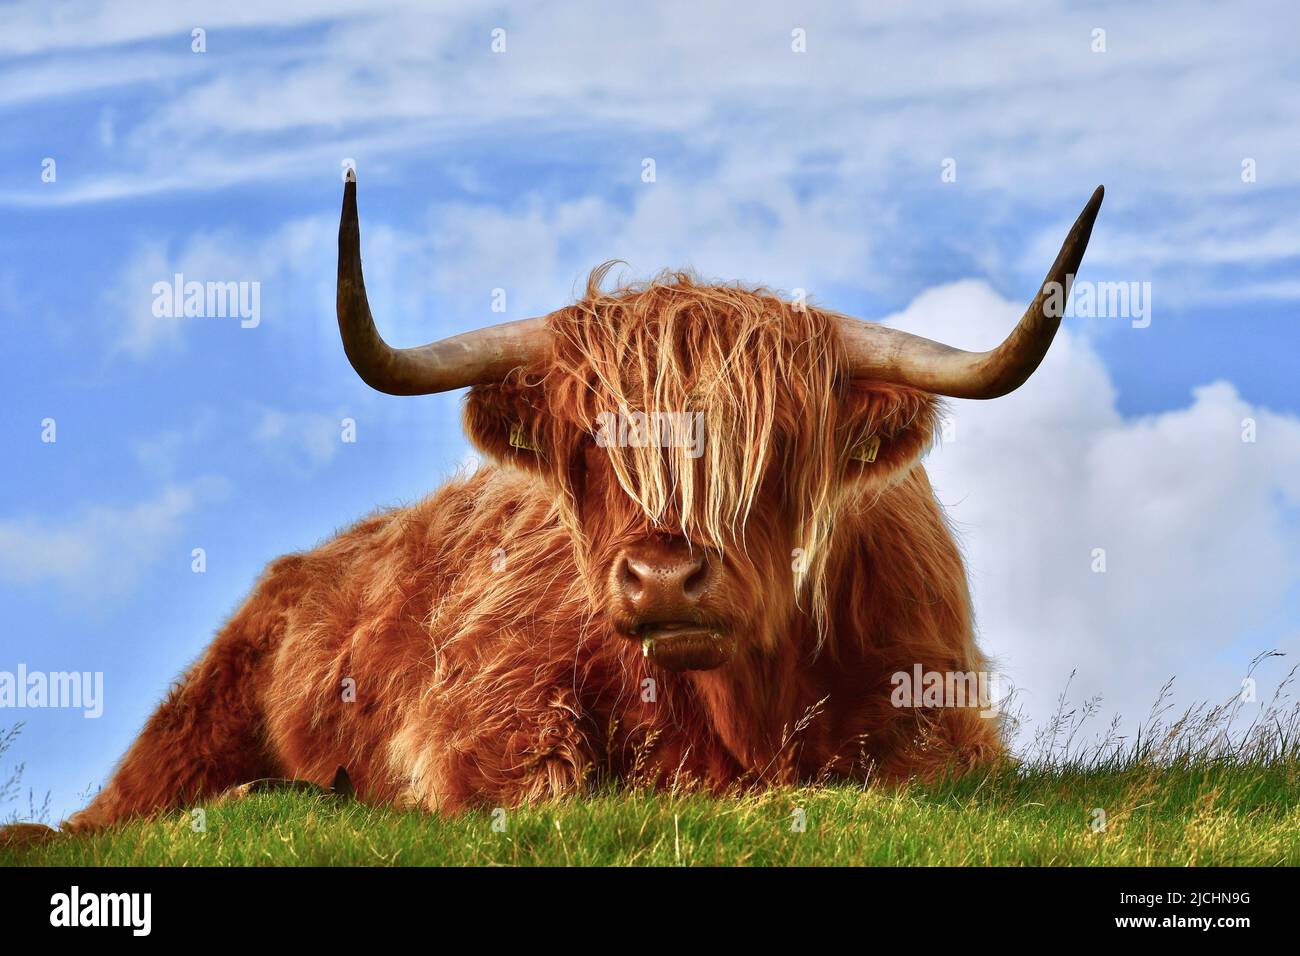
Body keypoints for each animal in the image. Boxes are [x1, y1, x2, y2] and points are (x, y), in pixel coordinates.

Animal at [8, 175, 1102, 840]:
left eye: (779, 444)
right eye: (586, 444)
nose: (662, 577)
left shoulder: (942, 726)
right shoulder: (485, 711)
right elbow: (534, 788)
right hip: (197, 710)